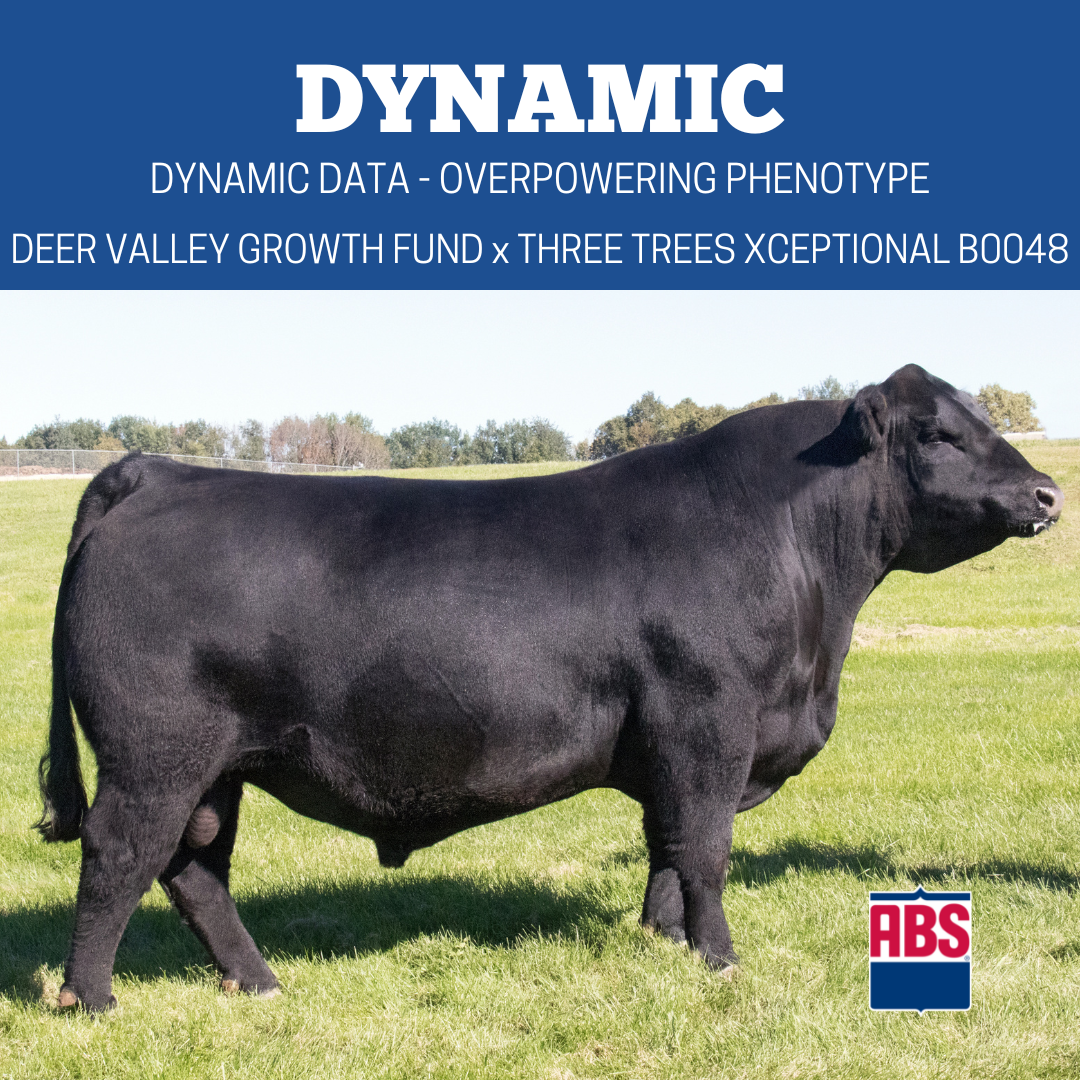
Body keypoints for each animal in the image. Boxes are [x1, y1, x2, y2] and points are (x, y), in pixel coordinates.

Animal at [36, 364, 1063, 1011]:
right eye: (940, 432)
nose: (1049, 494)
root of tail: (158, 472)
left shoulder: (671, 743)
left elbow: (665, 848)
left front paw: (660, 946)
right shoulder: (709, 723)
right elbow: (705, 849)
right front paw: (721, 961)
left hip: (216, 766)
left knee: (194, 868)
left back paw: (257, 983)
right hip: (154, 755)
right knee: (119, 856)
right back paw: (91, 1000)